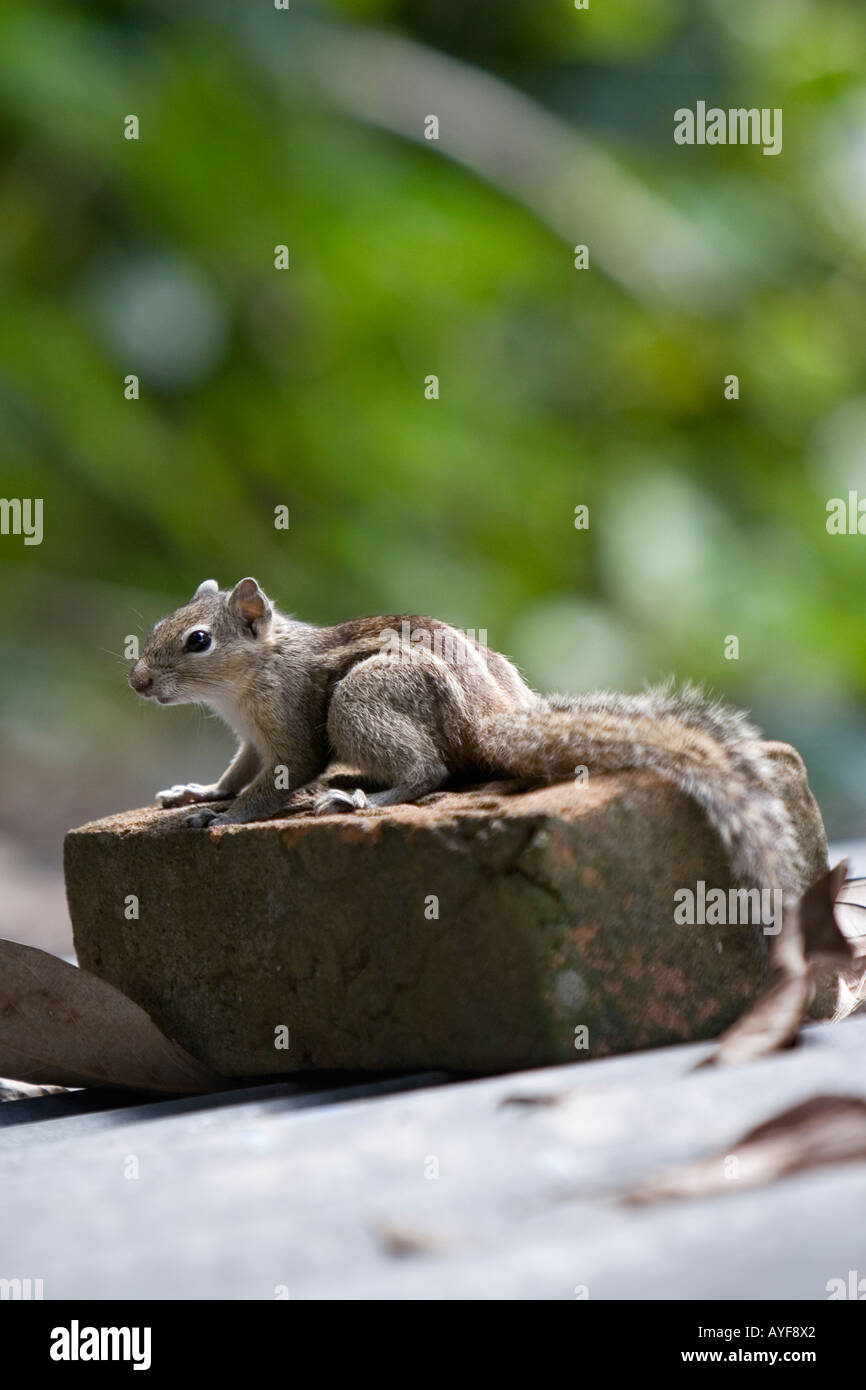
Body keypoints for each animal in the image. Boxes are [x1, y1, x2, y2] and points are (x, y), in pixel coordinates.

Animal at [128, 576, 803, 894]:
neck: (250, 677)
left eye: (197, 640)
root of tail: (488, 719)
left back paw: (361, 798)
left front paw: (223, 818)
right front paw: (197, 794)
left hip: (360, 698)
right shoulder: (250, 741)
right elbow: (235, 774)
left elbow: (276, 784)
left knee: (431, 772)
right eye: (161, 623)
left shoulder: (291, 731)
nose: (137, 681)